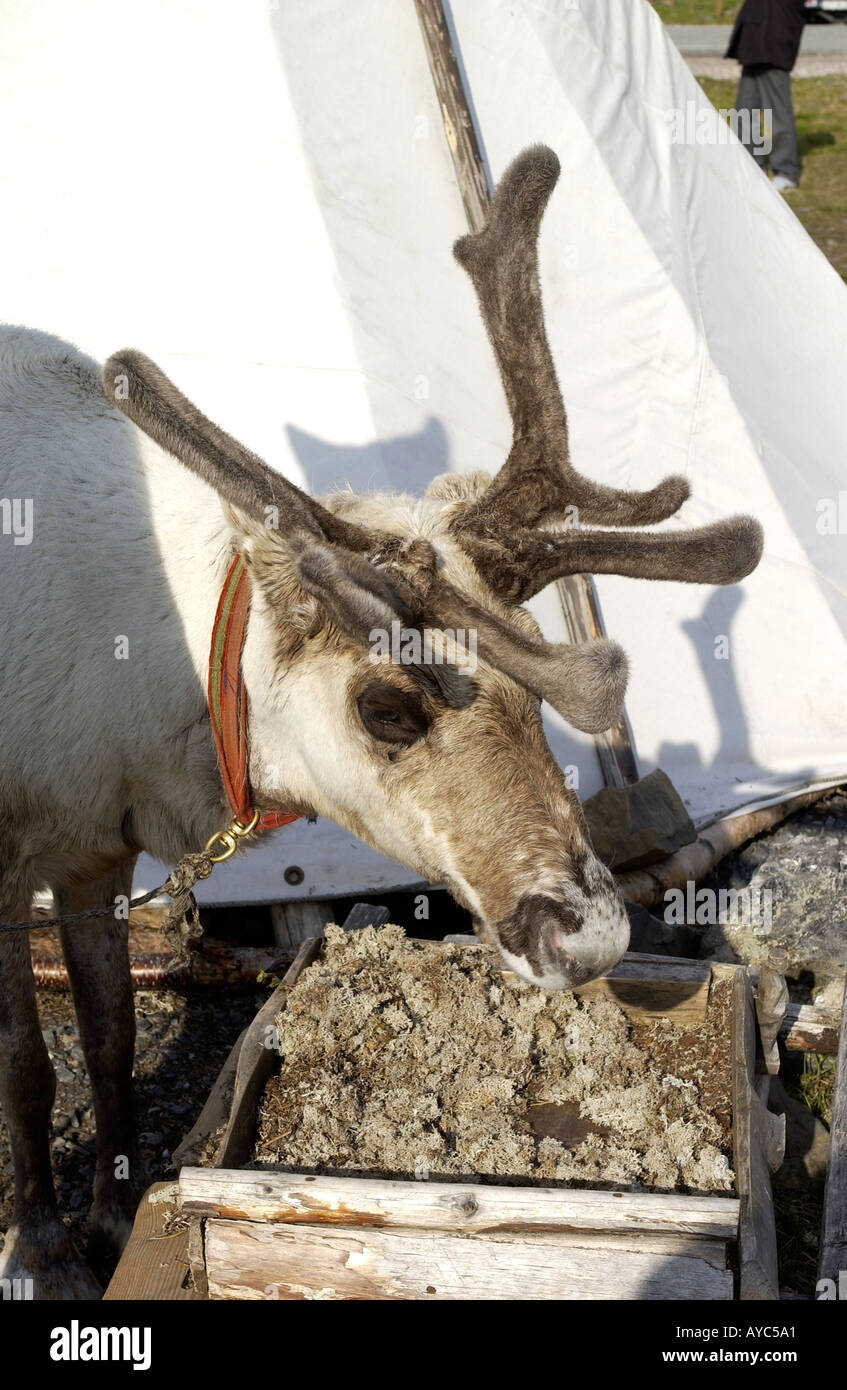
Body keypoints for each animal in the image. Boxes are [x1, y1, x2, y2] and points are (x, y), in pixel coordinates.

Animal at [0, 146, 762, 1297]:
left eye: (534, 682)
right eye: (387, 705)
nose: (591, 936)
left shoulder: (93, 848)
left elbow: (109, 1042)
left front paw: (113, 1216)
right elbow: (28, 1068)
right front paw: (44, 1250)